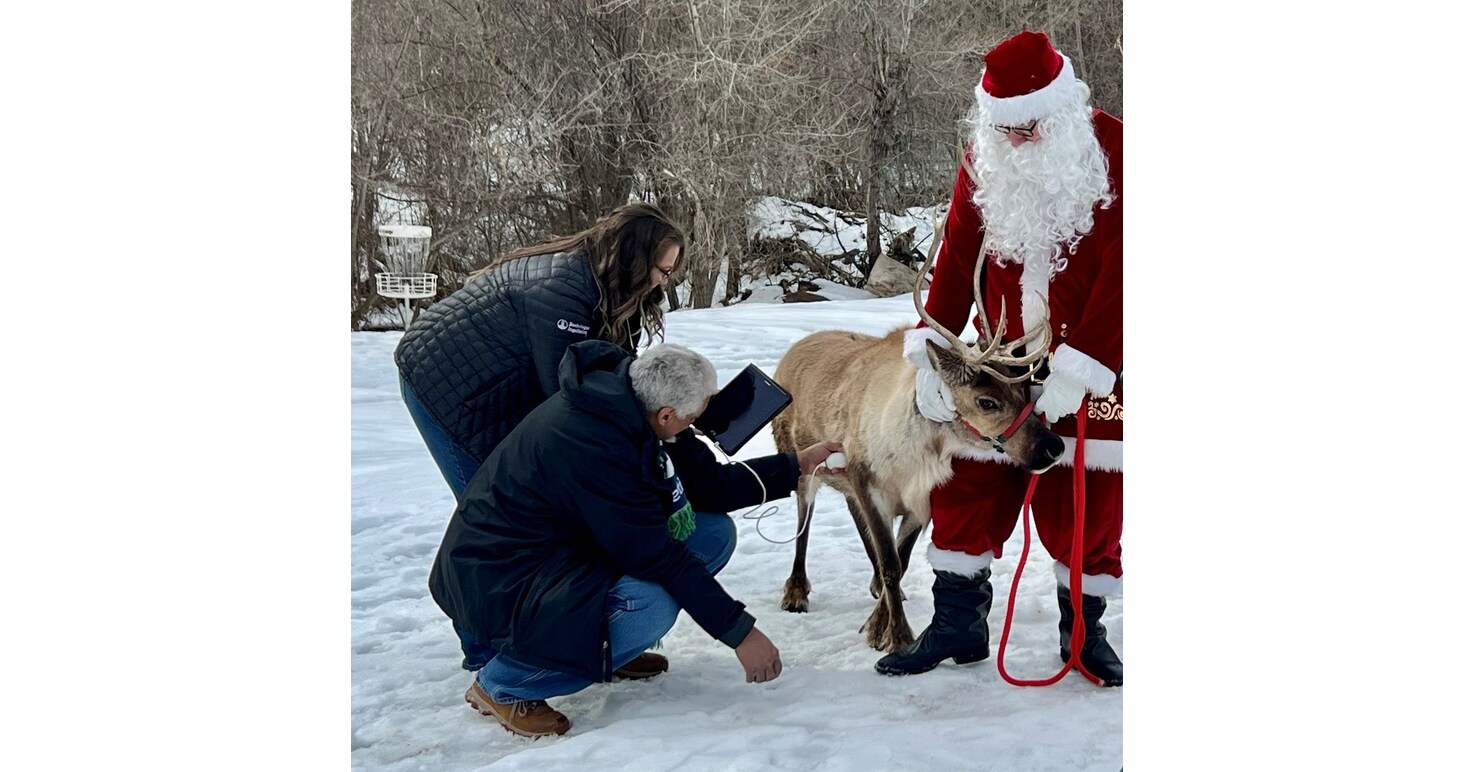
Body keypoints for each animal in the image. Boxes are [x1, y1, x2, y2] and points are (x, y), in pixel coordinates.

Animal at [769, 222, 1066, 653]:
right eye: (987, 401)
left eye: (1027, 391)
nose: (1053, 446)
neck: (912, 454)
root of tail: (789, 353)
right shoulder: (868, 481)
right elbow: (891, 563)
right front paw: (897, 635)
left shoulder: (919, 501)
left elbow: (900, 560)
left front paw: (877, 625)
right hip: (800, 462)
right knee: (803, 522)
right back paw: (795, 591)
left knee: (855, 521)